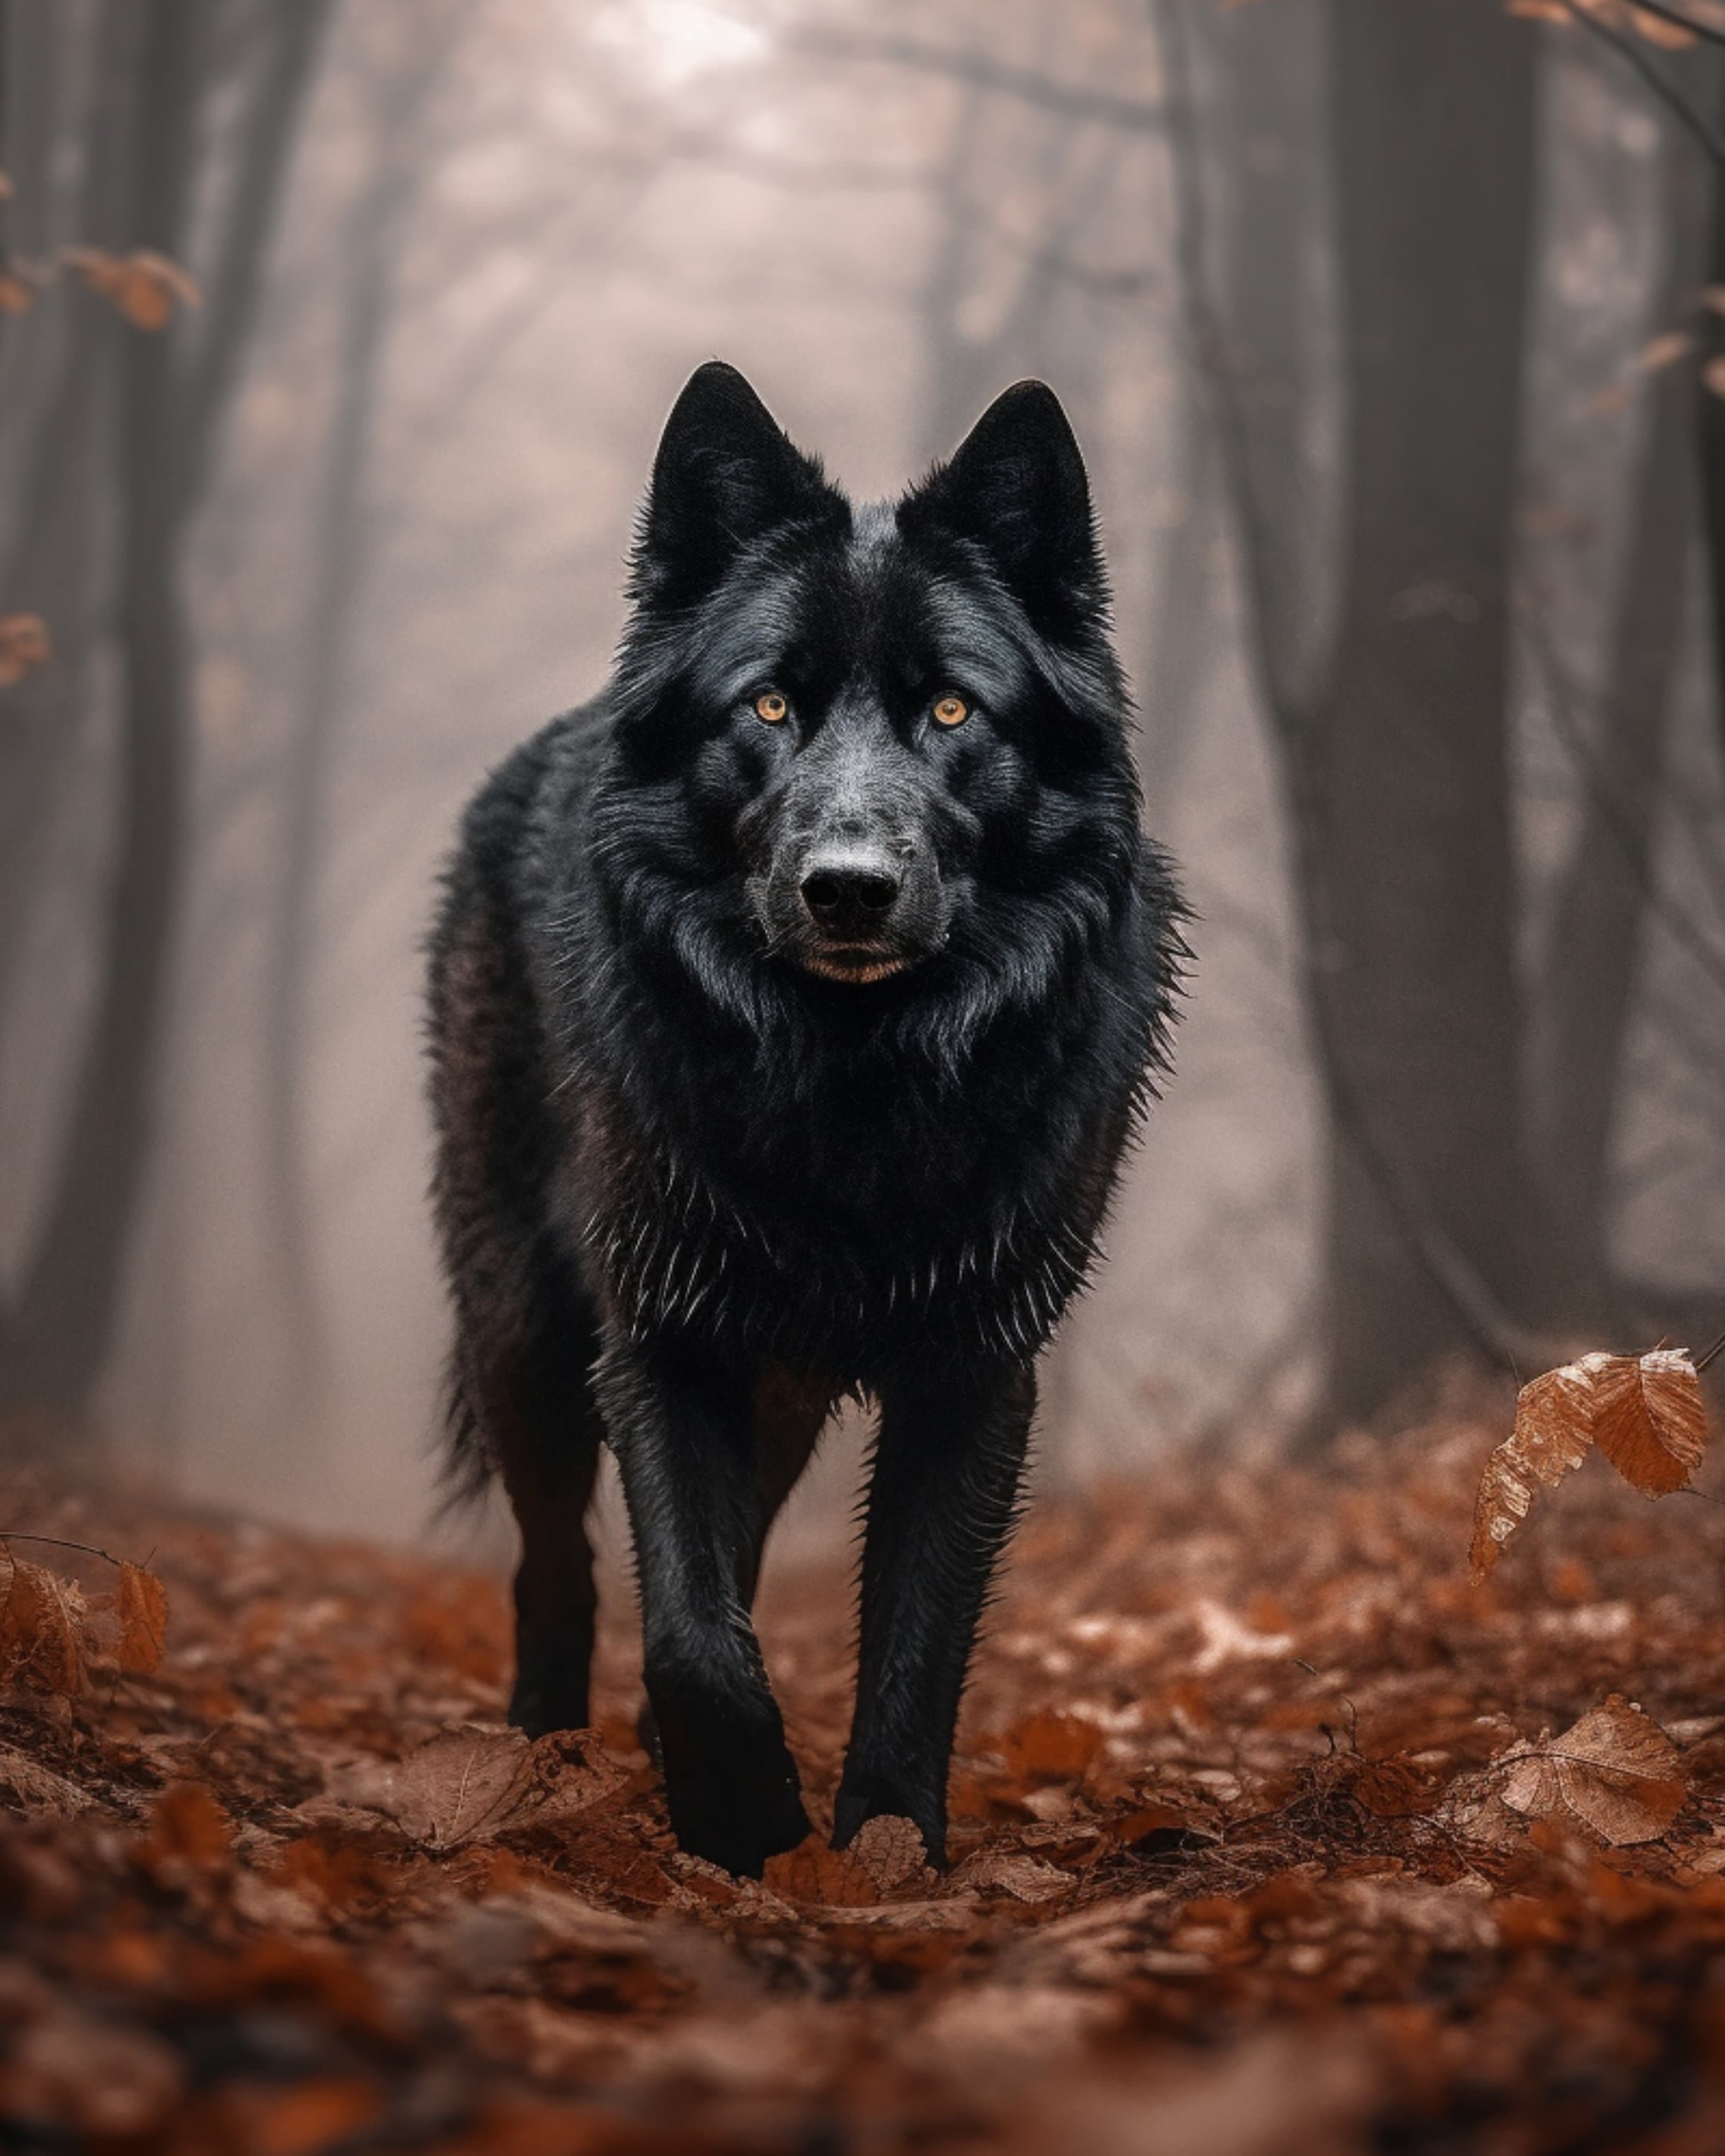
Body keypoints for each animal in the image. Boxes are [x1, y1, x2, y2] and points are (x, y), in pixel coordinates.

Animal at [427, 361, 1183, 1877]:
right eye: (771, 707)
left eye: (952, 714)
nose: (848, 889)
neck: (855, 1089)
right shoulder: (658, 1342)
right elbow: (691, 1634)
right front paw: (746, 1823)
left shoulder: (975, 1374)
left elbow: (915, 1646)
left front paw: (887, 1857)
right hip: (524, 1332)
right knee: (561, 1562)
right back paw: (538, 1752)